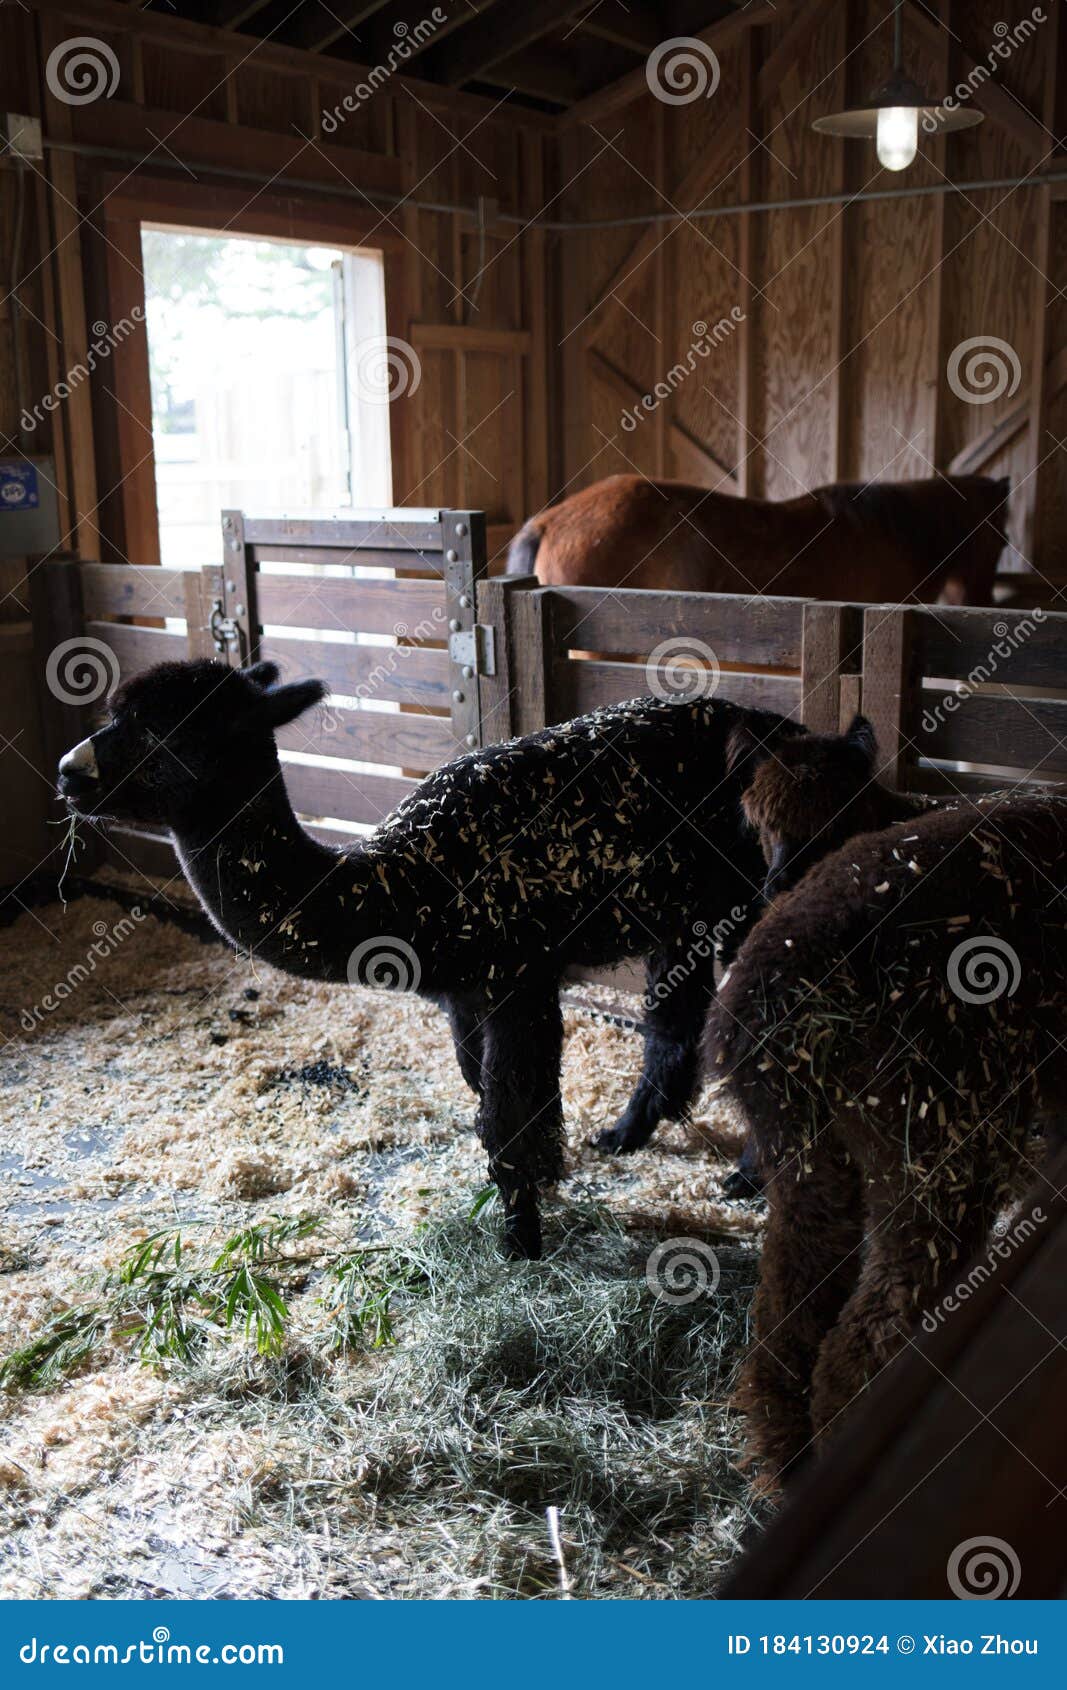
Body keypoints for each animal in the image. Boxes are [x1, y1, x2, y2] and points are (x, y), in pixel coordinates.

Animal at [57, 657, 805, 1260]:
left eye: (163, 731)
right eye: (114, 715)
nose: (69, 773)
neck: (400, 887)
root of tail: (779, 728)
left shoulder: (517, 977)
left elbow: (506, 1119)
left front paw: (522, 1246)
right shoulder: (465, 994)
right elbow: (495, 1097)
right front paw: (541, 1199)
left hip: (756, 899)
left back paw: (745, 1175)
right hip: (681, 914)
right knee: (675, 1026)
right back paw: (625, 1135)